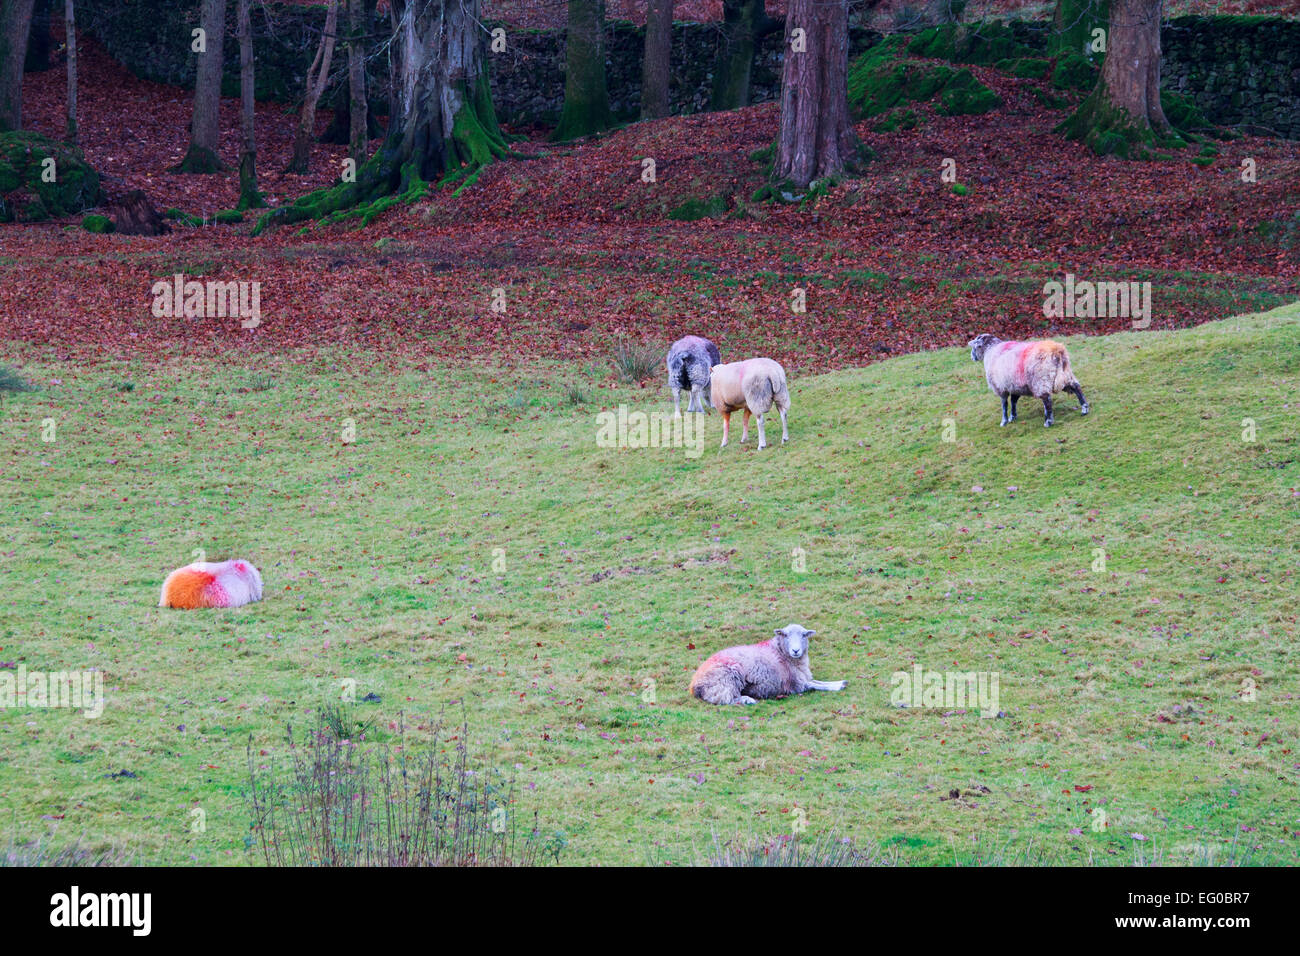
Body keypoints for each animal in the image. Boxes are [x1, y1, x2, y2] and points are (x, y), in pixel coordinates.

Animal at [689, 624, 846, 705]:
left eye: (804, 635)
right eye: (785, 635)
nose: (796, 650)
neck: (781, 652)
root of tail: (694, 684)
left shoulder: (801, 678)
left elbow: (817, 681)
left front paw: (840, 682)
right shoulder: (794, 684)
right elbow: (815, 685)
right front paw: (838, 686)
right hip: (727, 678)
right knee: (724, 699)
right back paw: (747, 699)